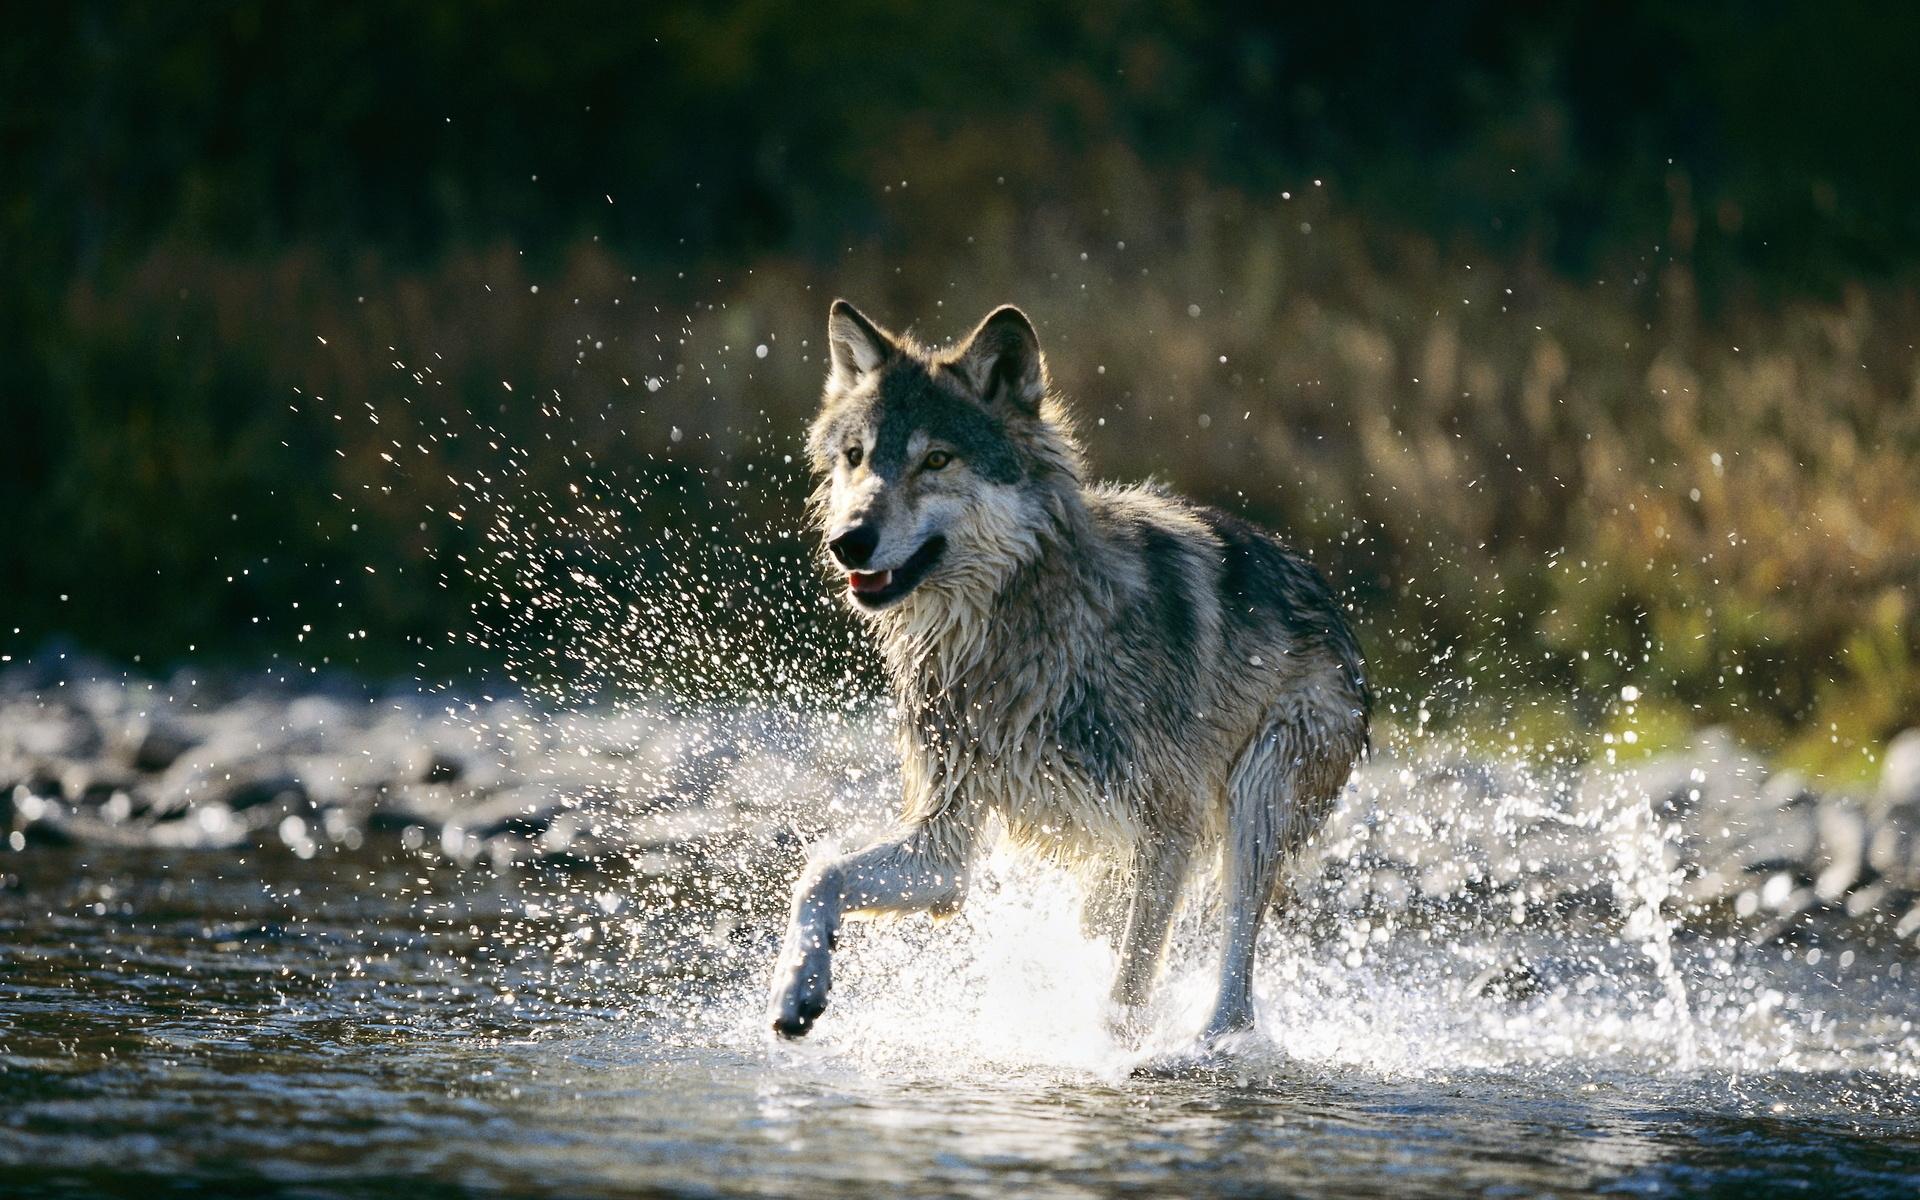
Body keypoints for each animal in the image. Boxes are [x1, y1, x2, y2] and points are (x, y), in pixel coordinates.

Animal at [767, 300, 1370, 1046]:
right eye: (855, 458)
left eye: (936, 459)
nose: (847, 541)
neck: (1013, 641)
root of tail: (1335, 608)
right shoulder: (943, 849)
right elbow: (818, 874)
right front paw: (796, 987)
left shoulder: (1166, 829)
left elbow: (1127, 991)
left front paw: (1113, 1057)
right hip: (1113, 867)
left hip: (1252, 805)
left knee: (1236, 993)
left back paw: (1211, 1048)